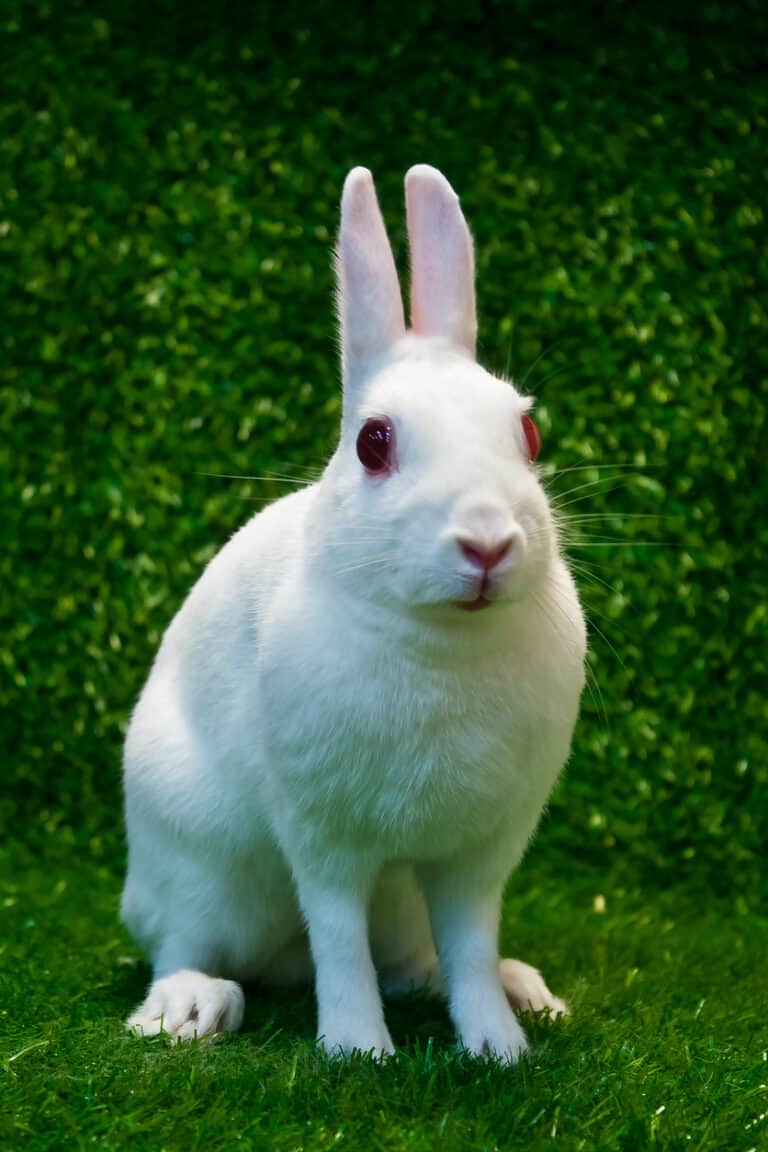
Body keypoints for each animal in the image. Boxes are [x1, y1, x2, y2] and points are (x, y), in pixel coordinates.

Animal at [121, 164, 586, 1062]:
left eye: (529, 433)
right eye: (374, 442)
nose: (487, 543)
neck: (443, 641)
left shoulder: (477, 855)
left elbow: (470, 945)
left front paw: (498, 1046)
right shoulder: (325, 838)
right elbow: (339, 941)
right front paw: (357, 1051)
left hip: (399, 909)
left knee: (418, 962)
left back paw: (525, 989)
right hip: (197, 867)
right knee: (183, 946)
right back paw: (190, 1008)